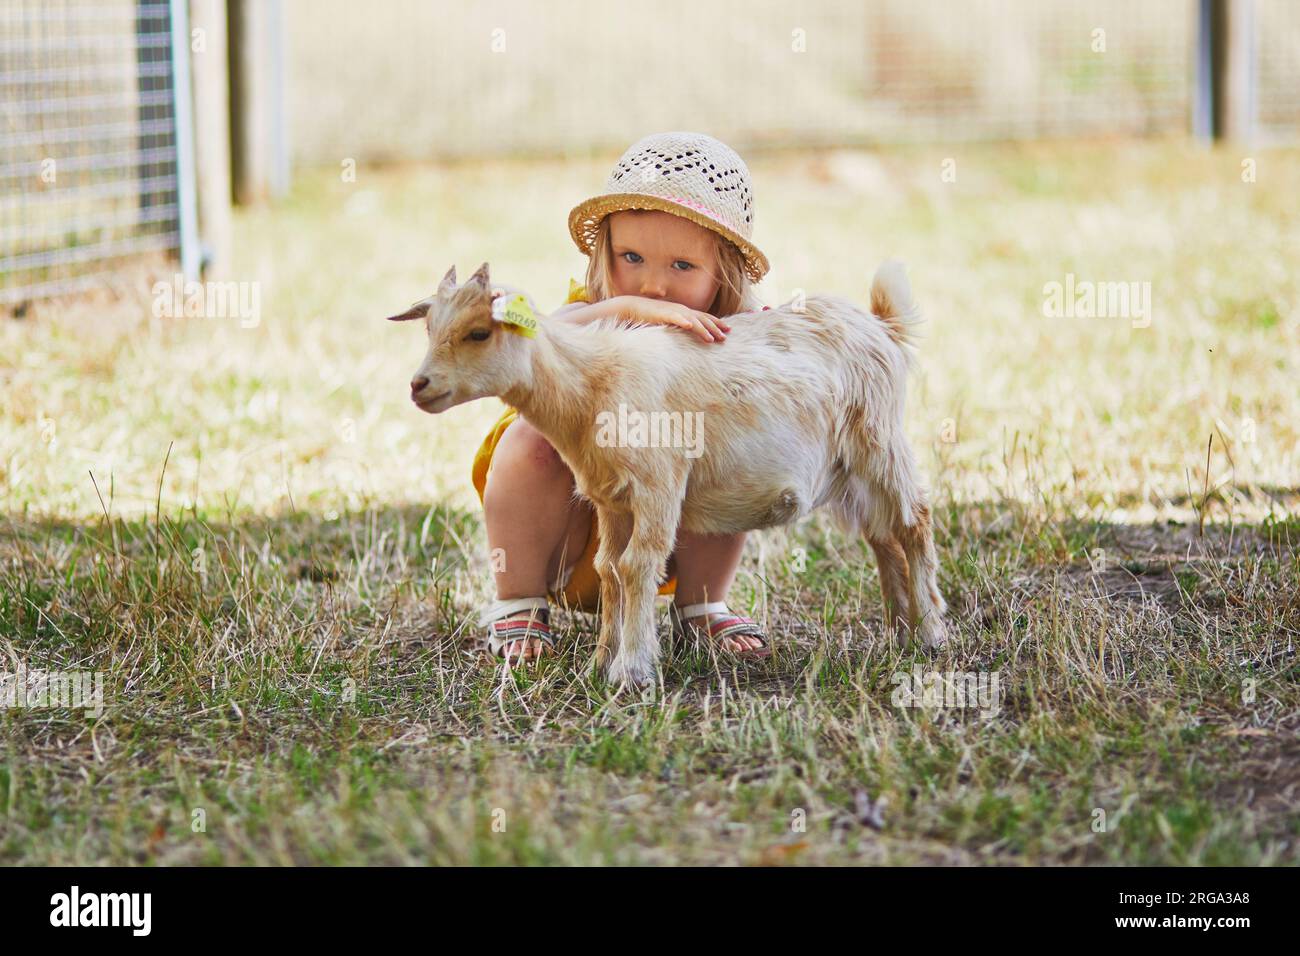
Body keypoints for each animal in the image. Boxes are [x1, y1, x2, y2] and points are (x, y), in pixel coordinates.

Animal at [388, 261, 948, 686]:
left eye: (479, 332)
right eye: (430, 329)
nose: (419, 386)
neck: (593, 386)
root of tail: (882, 325)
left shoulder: (659, 482)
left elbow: (637, 566)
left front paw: (633, 671)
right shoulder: (612, 498)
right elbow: (611, 570)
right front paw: (600, 664)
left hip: (879, 440)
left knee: (914, 521)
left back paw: (931, 633)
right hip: (850, 472)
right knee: (883, 536)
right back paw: (899, 632)